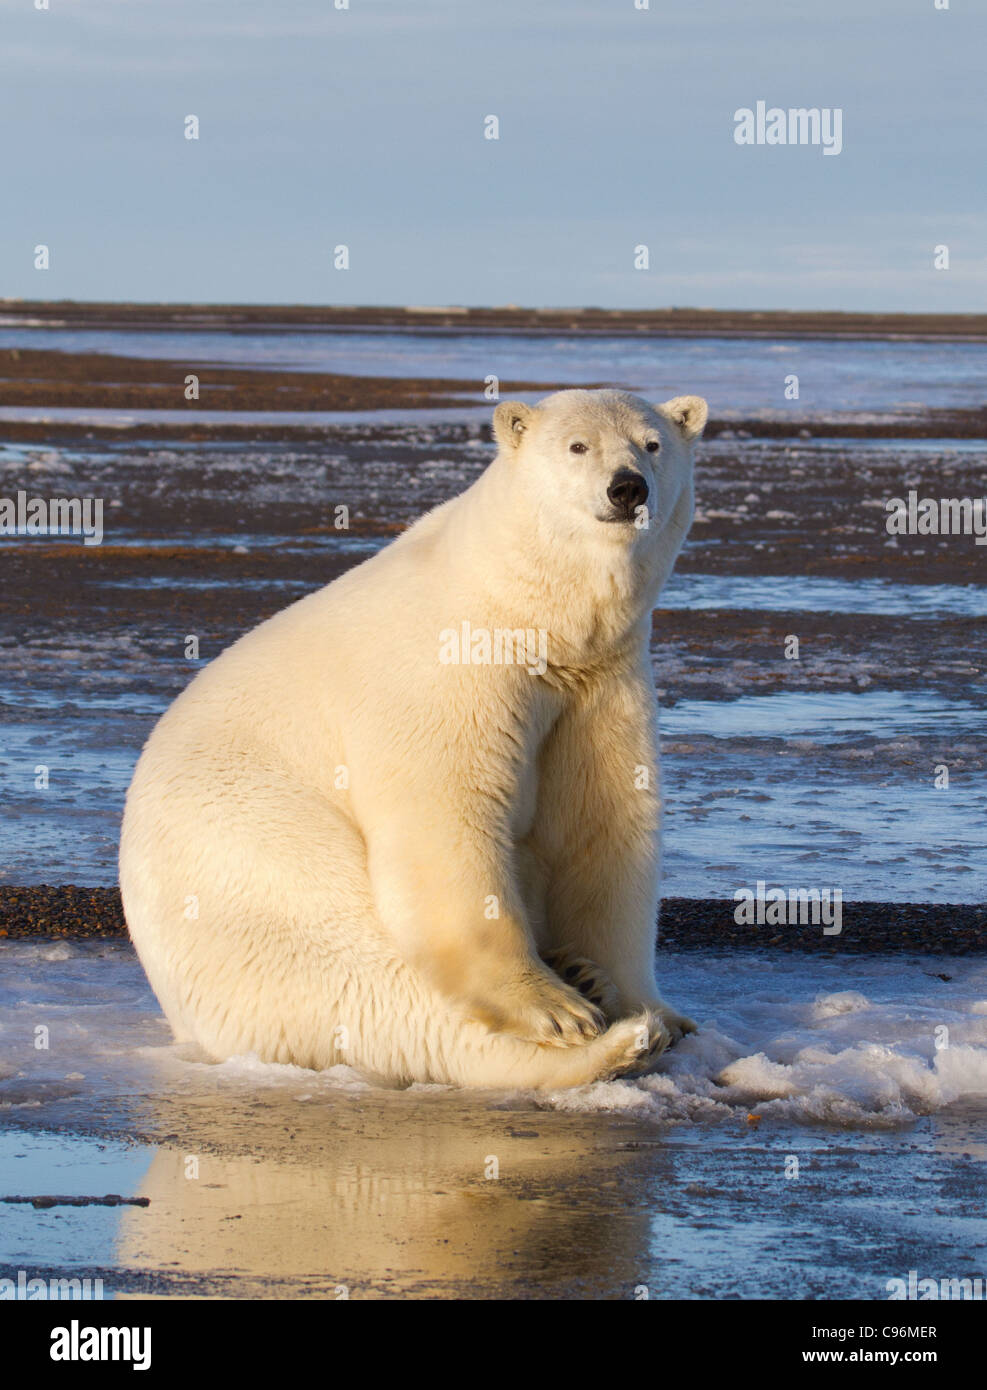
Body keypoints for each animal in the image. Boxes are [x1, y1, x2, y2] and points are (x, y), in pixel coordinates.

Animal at [119, 387, 707, 1089]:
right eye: (577, 445)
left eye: (652, 443)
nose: (627, 489)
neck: (530, 616)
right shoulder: (446, 671)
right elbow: (446, 817)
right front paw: (553, 1008)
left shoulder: (601, 682)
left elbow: (604, 820)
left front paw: (650, 1003)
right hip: (257, 869)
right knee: (370, 978)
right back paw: (598, 1034)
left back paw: (606, 999)